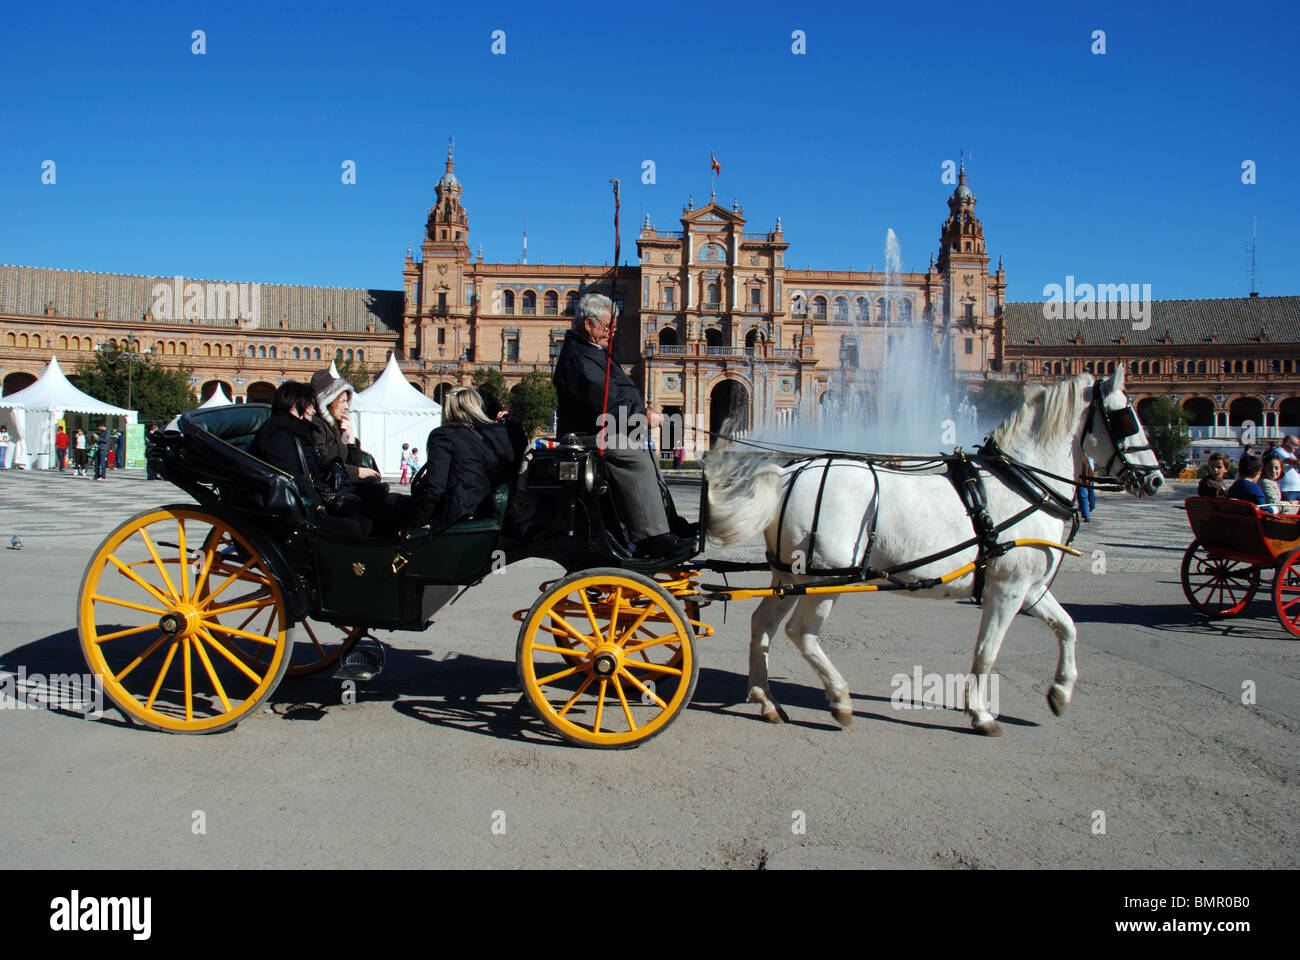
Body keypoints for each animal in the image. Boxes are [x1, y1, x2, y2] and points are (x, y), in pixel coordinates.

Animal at [704, 368, 1163, 736]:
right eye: (1127, 416)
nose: (1156, 478)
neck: (1021, 483)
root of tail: (787, 472)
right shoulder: (1007, 589)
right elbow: (987, 651)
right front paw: (981, 713)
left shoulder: (1029, 588)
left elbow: (1067, 628)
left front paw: (1061, 693)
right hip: (826, 578)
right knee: (802, 633)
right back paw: (840, 699)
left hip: (790, 575)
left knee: (762, 624)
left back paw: (766, 700)